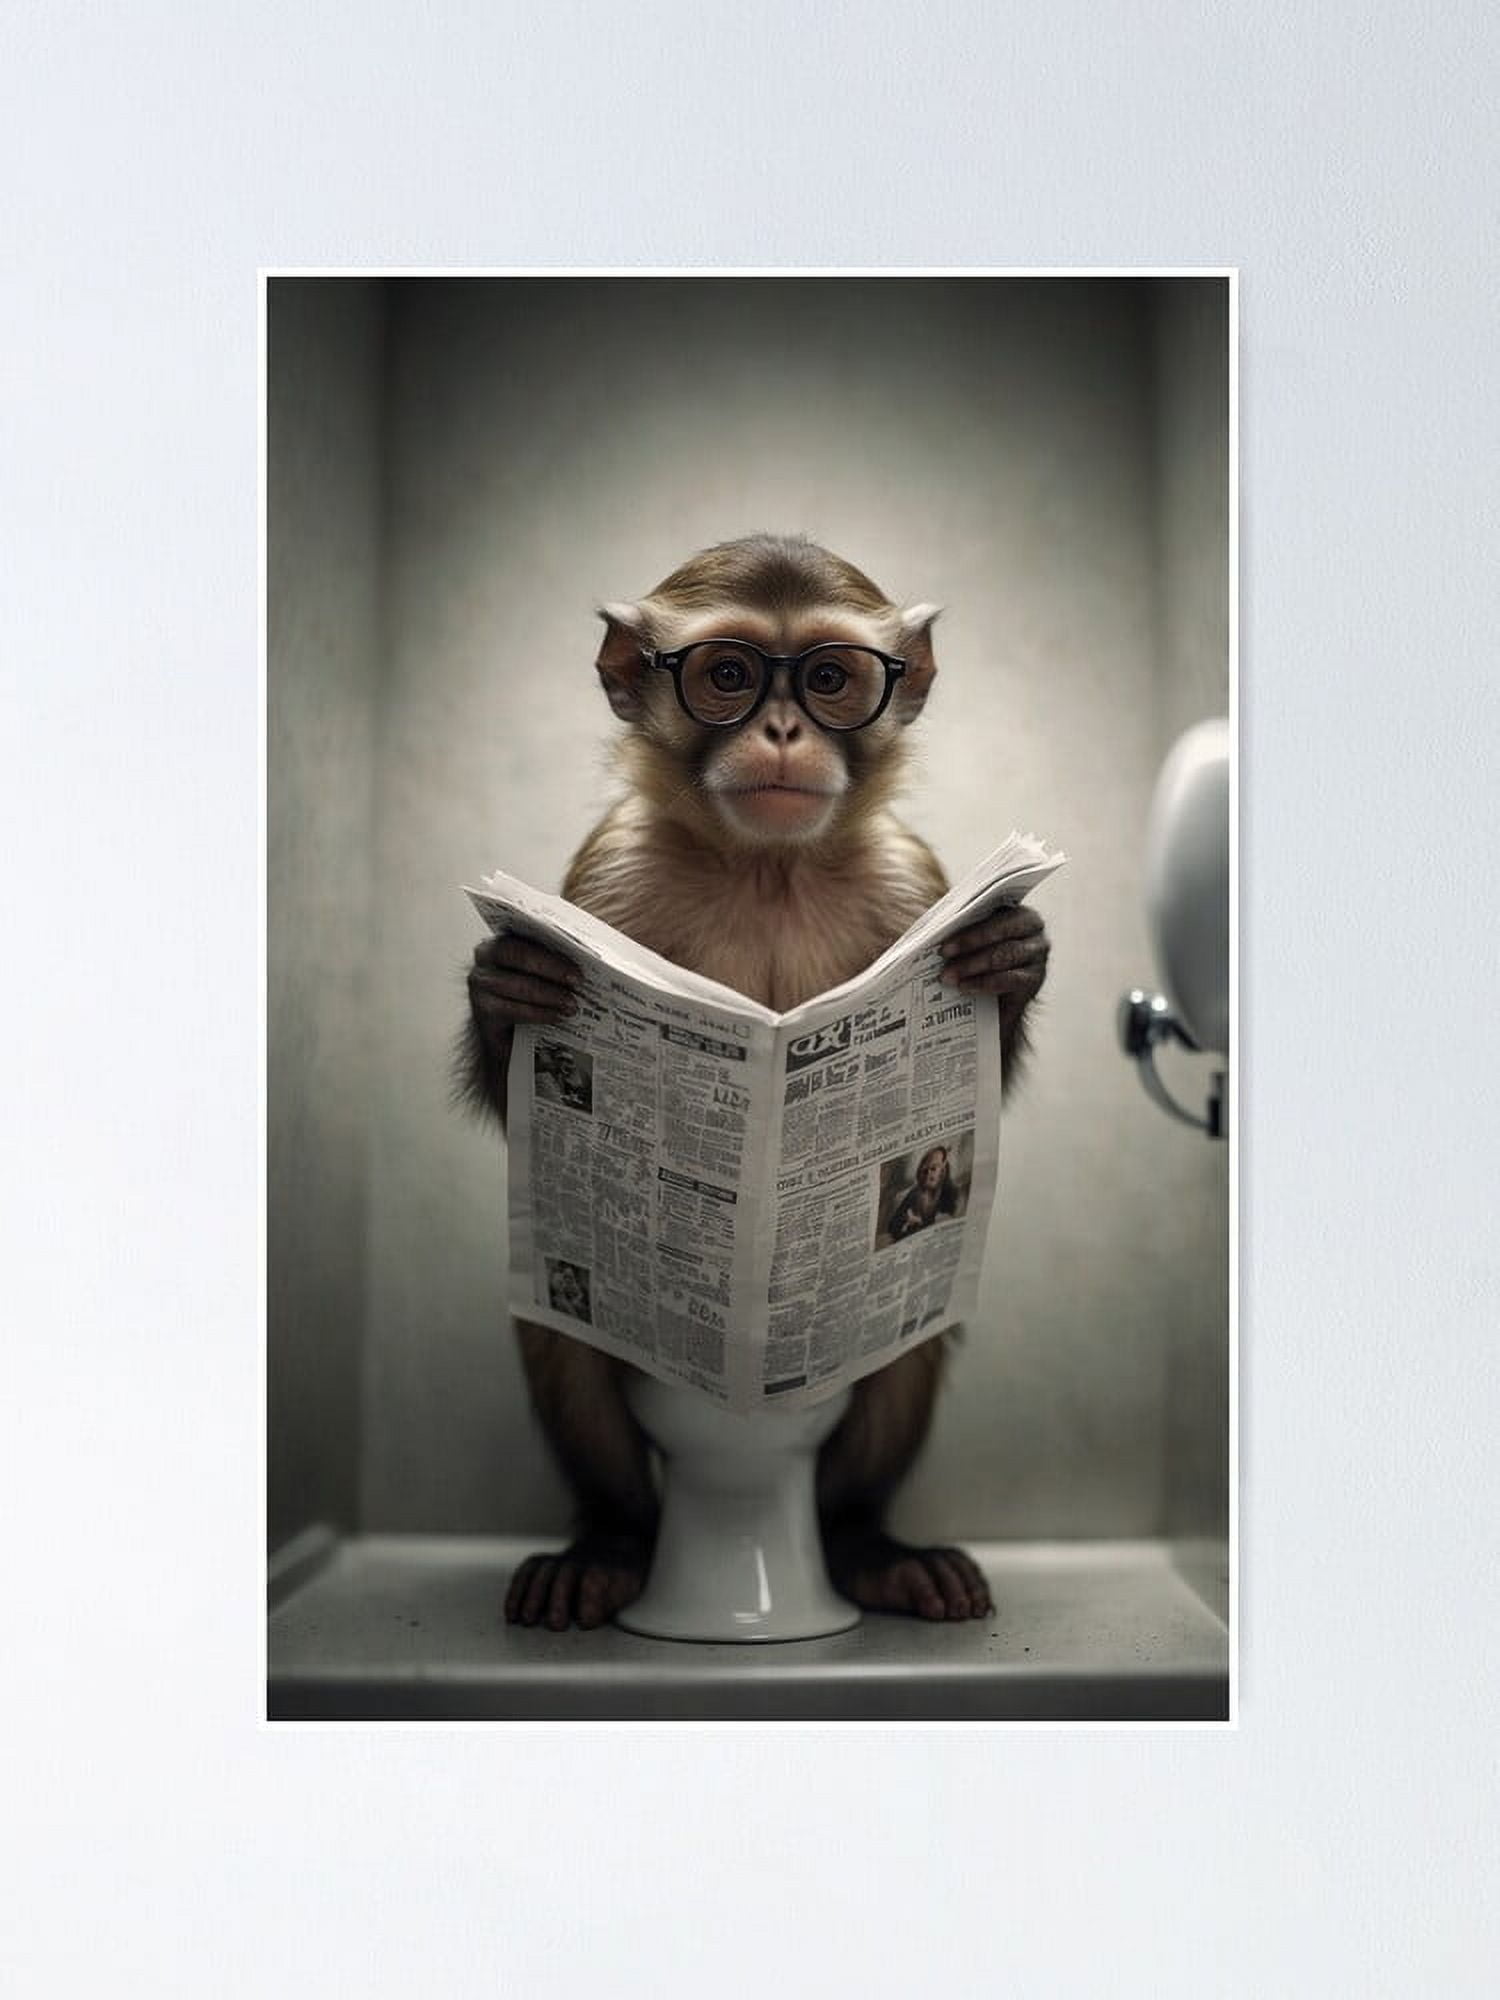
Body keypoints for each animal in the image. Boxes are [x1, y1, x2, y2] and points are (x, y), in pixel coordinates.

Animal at [460, 533, 1050, 1630]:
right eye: (728, 676)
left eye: (829, 678)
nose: (781, 728)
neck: (768, 866)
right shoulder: (612, 873)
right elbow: (522, 1111)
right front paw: (508, 985)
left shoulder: (909, 876)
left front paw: (1010, 956)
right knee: (567, 1332)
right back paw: (608, 1539)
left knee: (902, 1340)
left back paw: (869, 1542)